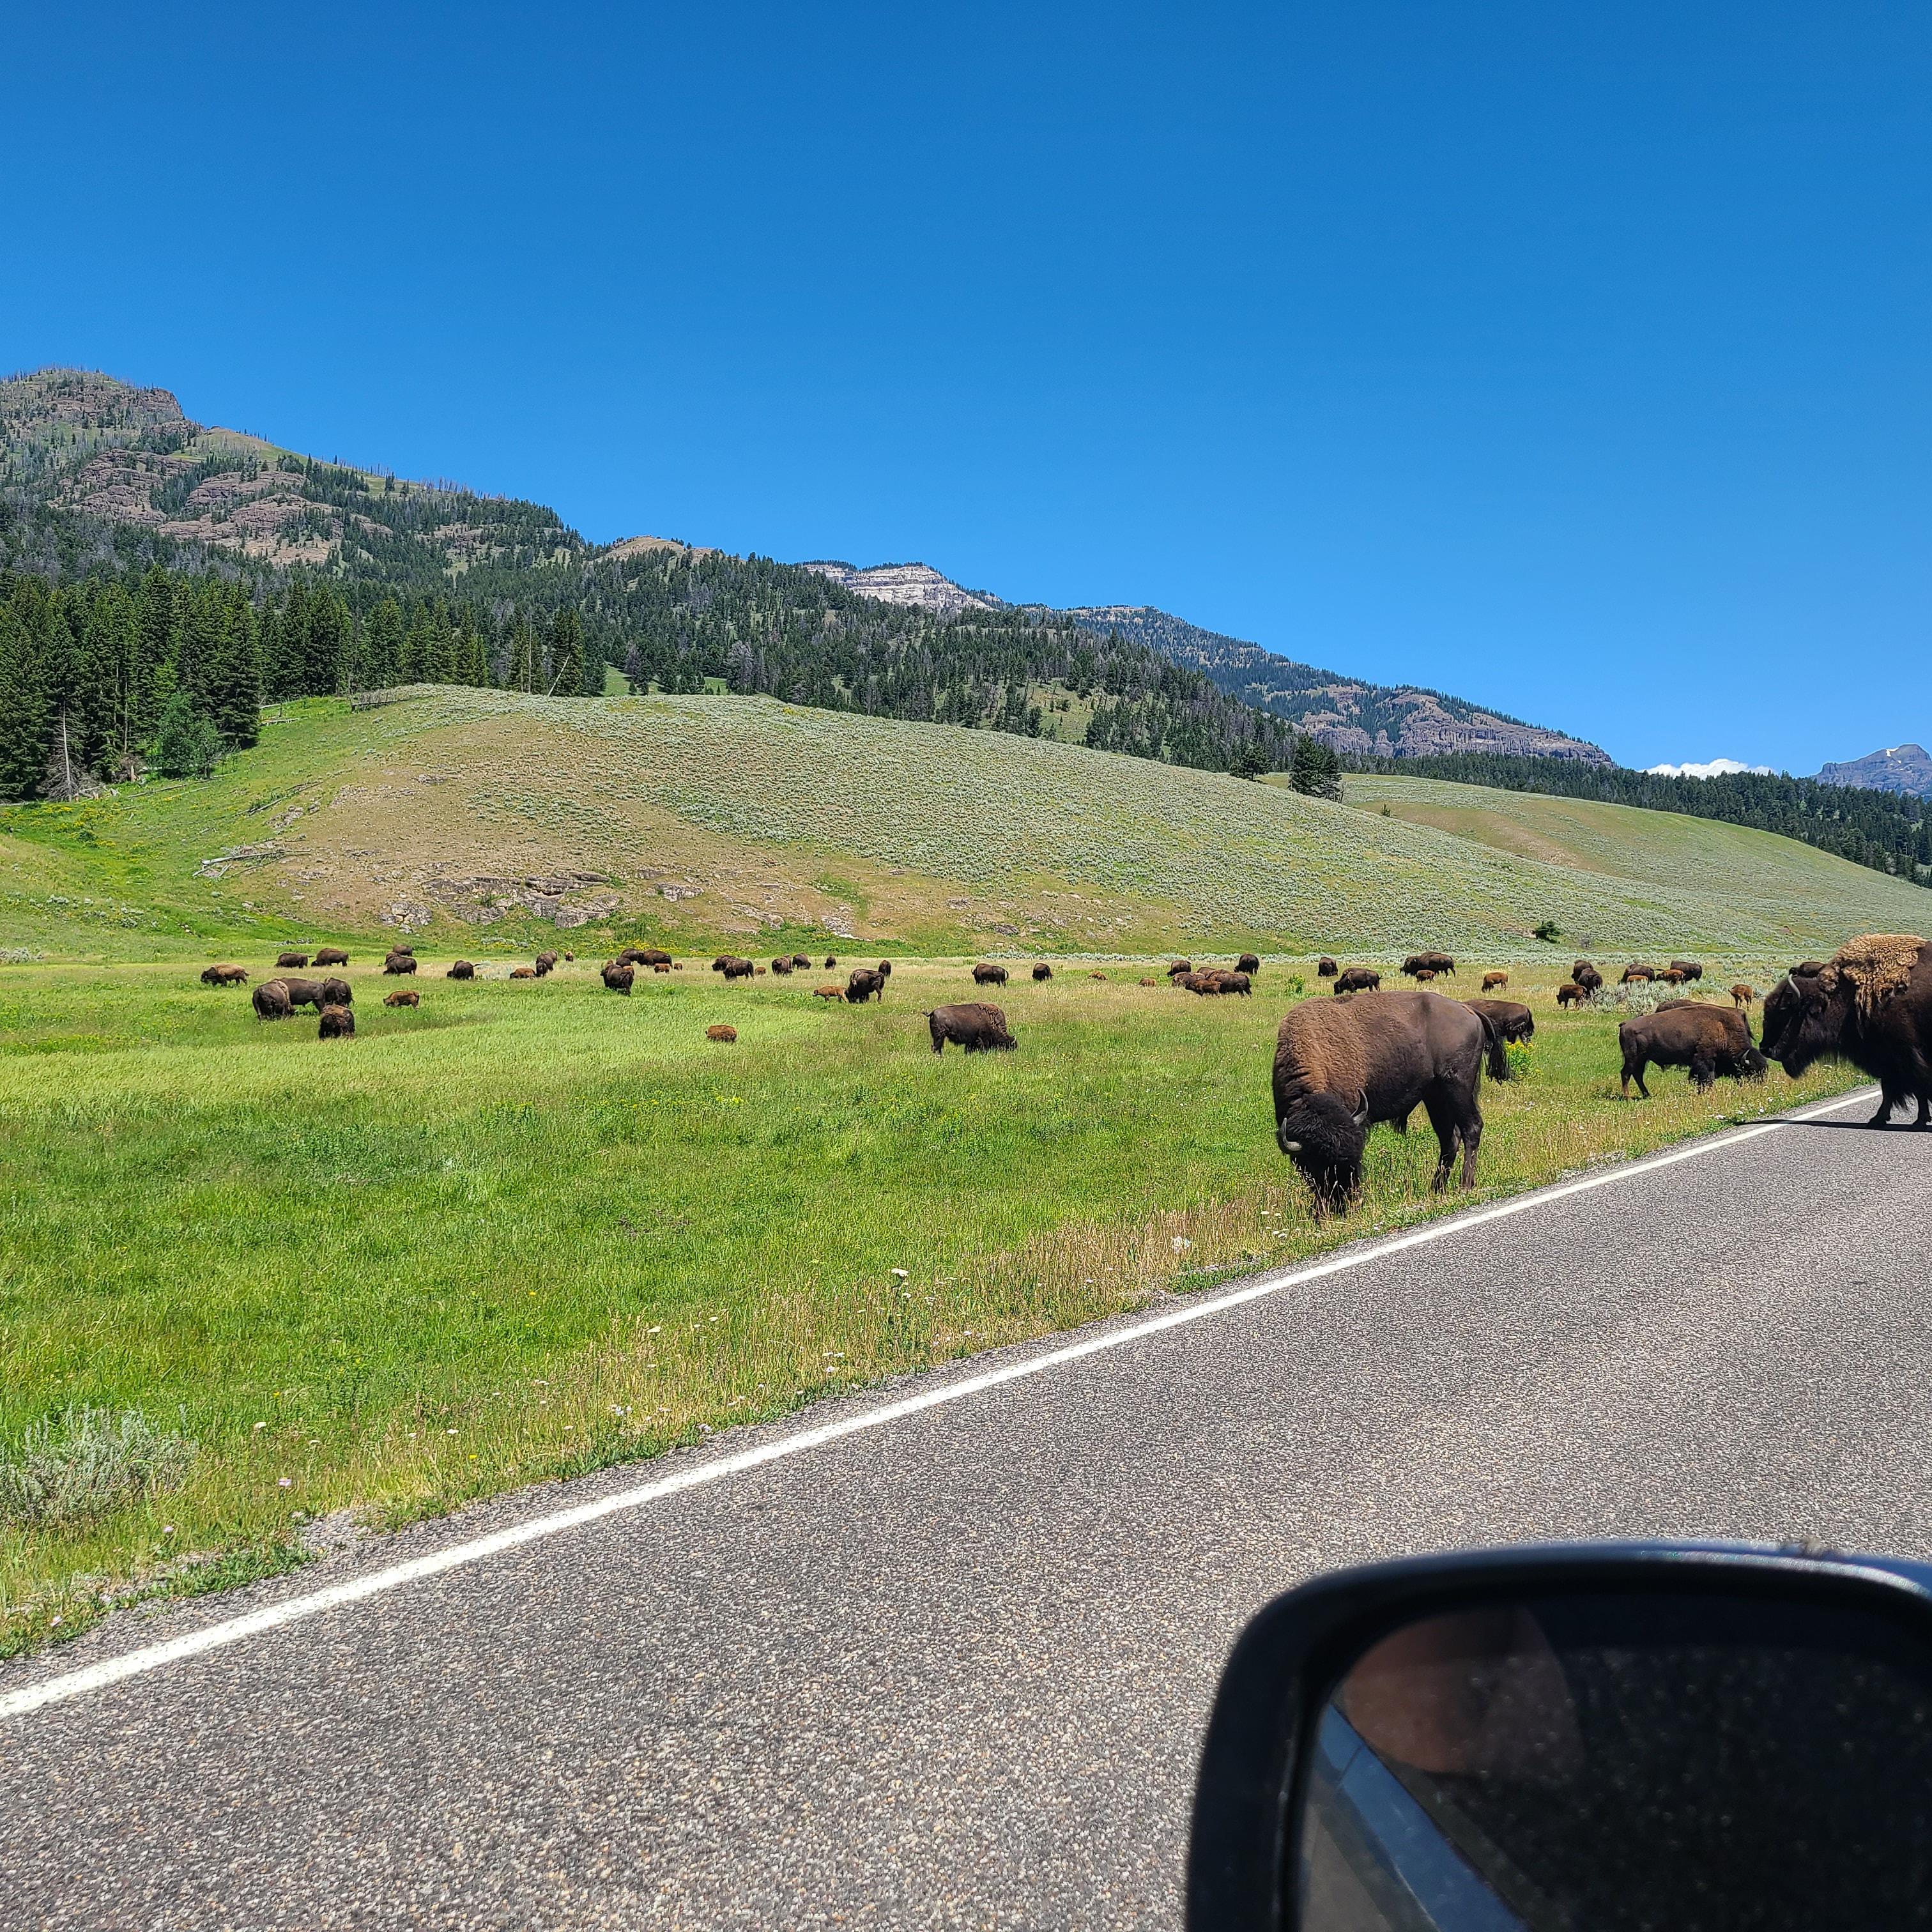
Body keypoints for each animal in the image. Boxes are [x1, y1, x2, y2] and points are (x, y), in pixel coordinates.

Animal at [1273, 988, 1487, 1208]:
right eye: (1318, 1162)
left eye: (1354, 1155)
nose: (1345, 1199)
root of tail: (1469, 1011)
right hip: (1435, 1097)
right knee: (1449, 1139)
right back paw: (1436, 1189)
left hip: (1458, 1088)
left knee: (1472, 1128)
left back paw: (1465, 1185)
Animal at [1619, 1003, 1766, 1097]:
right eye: (1751, 1070)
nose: (1759, 1087)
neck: (1723, 1028)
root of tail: (1626, 1025)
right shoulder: (1705, 1060)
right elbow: (1707, 1077)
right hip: (1633, 1058)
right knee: (1626, 1074)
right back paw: (1628, 1097)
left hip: (1642, 1059)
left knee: (1637, 1075)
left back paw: (1647, 1094)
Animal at [1760, 935, 1932, 1127]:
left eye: (1785, 1010)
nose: (1764, 1048)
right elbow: (1896, 1089)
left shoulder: (1903, 1055)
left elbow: (1910, 1087)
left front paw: (1901, 1120)